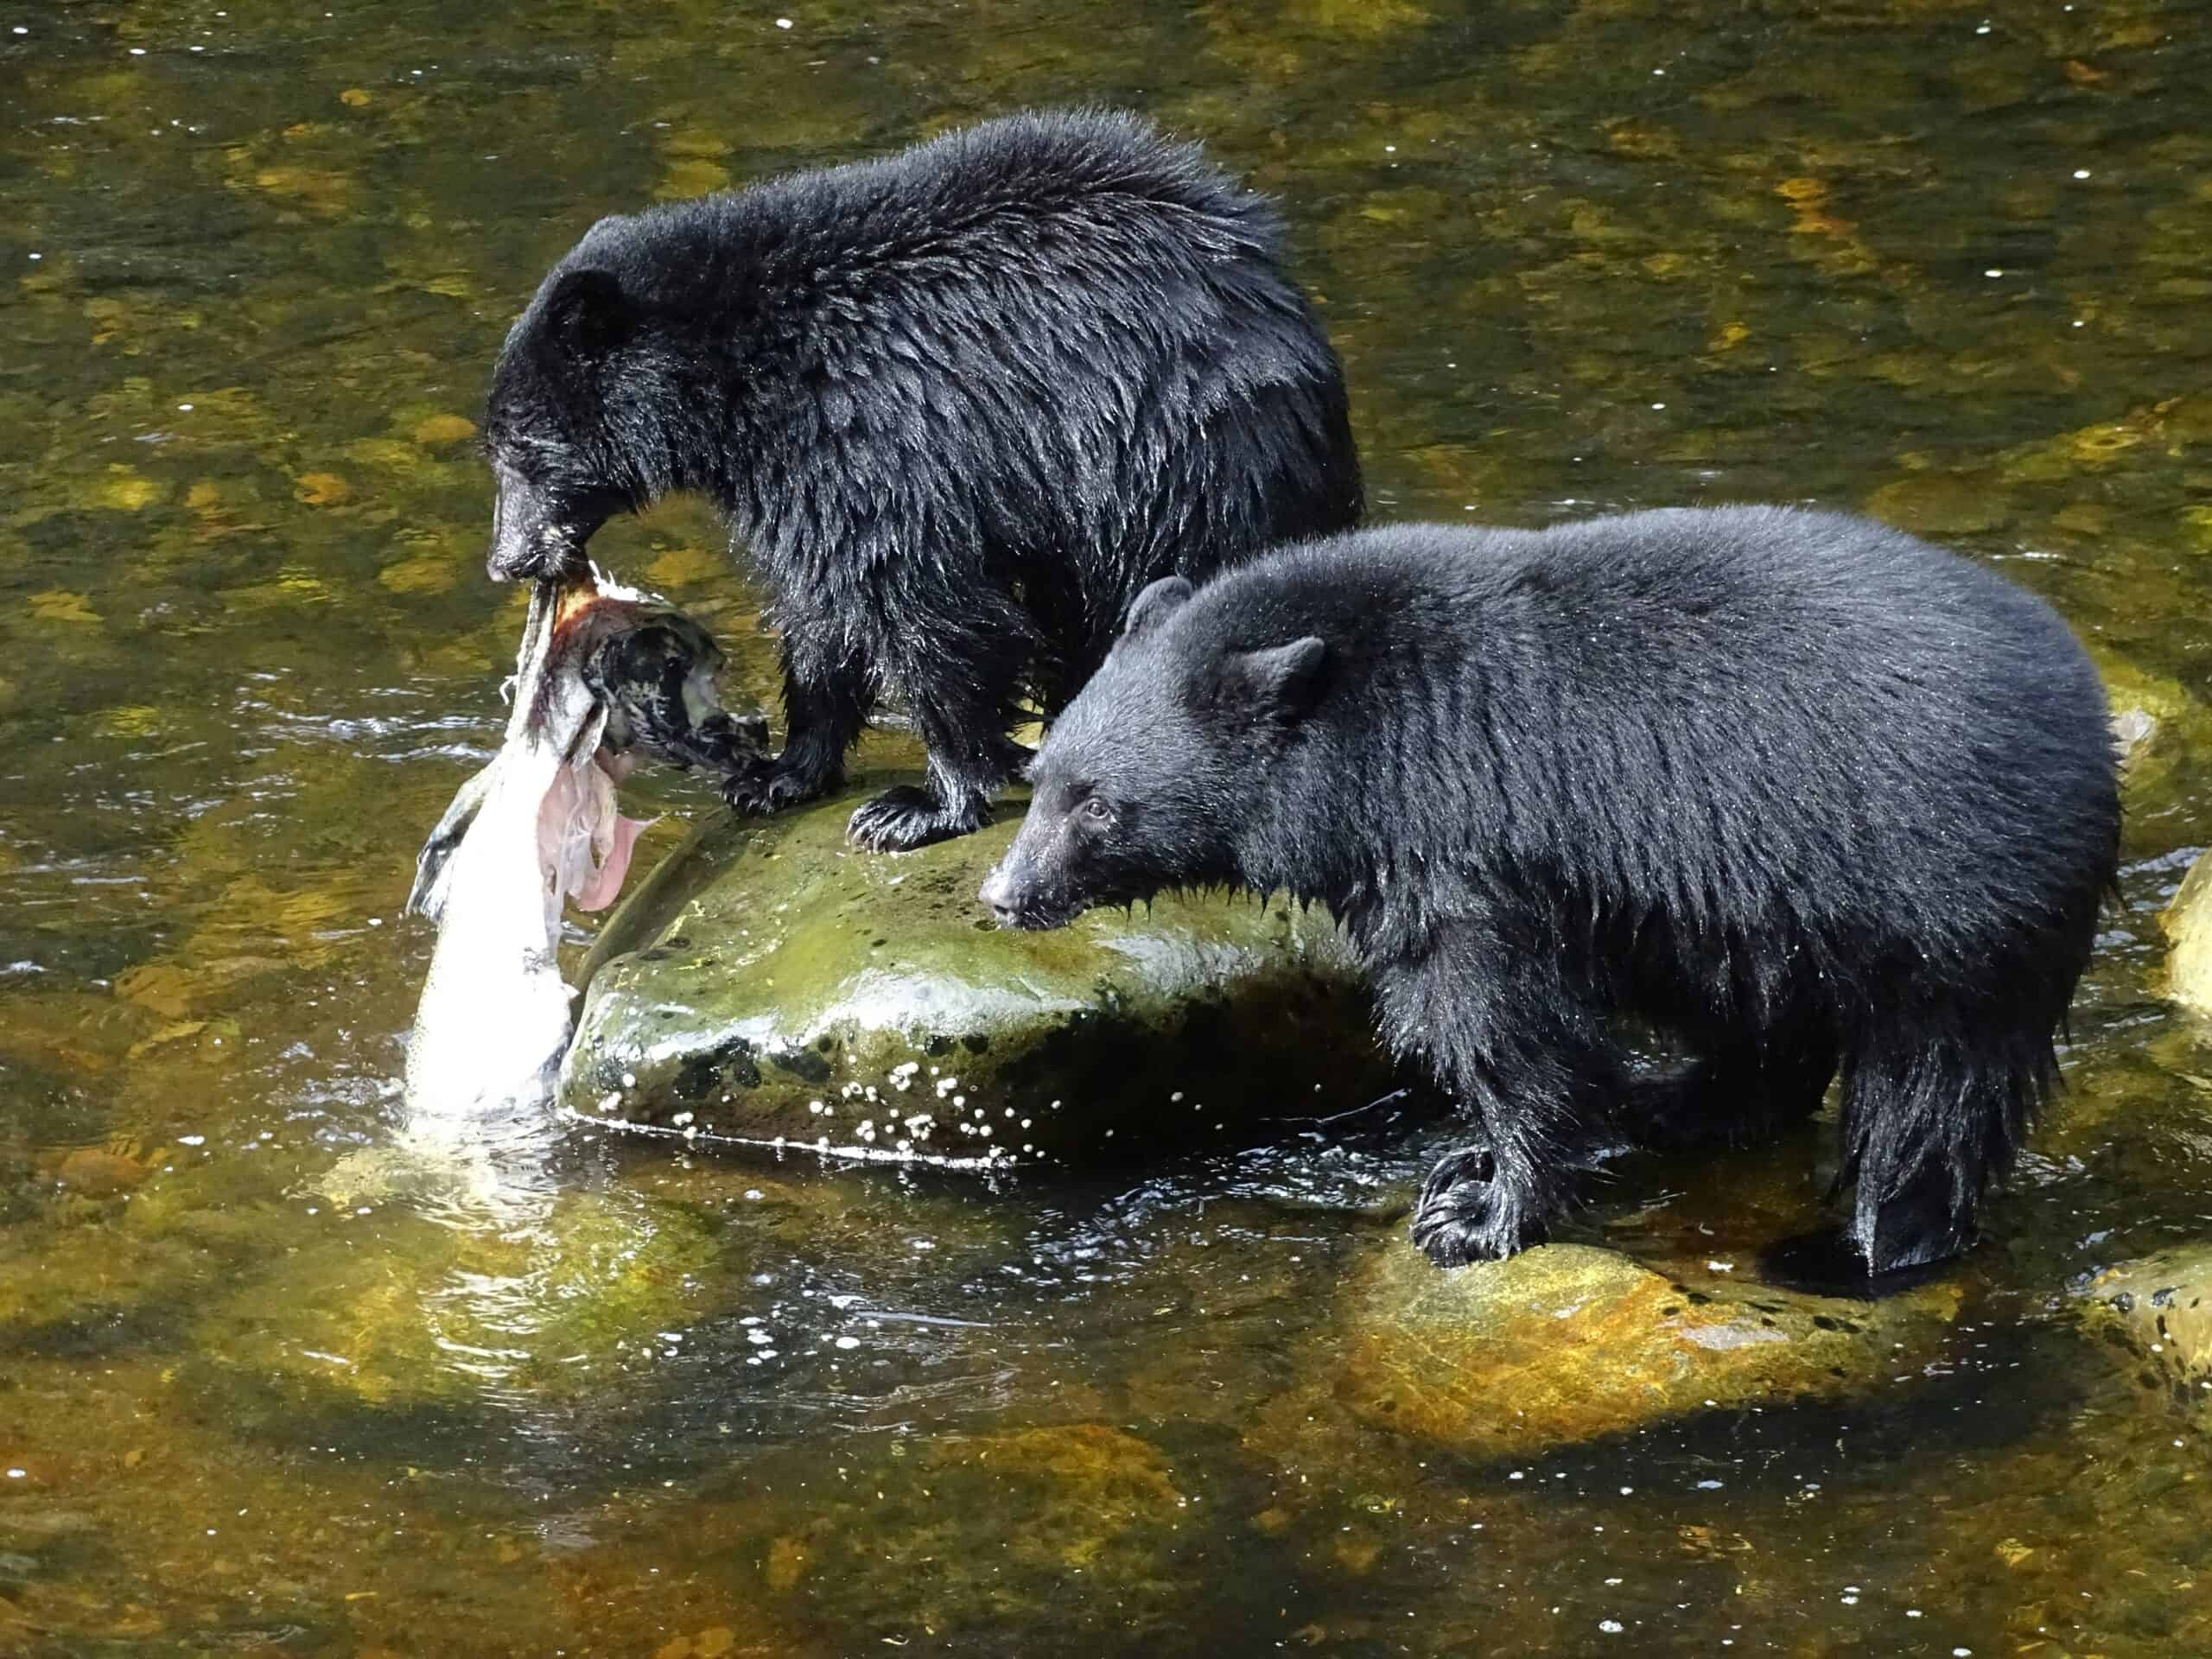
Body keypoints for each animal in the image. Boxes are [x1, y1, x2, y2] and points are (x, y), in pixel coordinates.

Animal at [480, 109, 1362, 852]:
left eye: (517, 448)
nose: (508, 560)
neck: (741, 379)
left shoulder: (875, 436)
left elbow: (919, 605)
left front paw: (919, 807)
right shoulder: (800, 476)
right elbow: (819, 613)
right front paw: (780, 774)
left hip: (1174, 461)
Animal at [978, 506, 2121, 1280]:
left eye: (1098, 807)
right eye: (1044, 775)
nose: (1003, 893)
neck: (1366, 745)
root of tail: (2086, 711)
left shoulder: (1466, 856)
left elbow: (1497, 1023)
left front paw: (1481, 1211)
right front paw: (1474, 1168)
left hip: (1944, 907)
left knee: (1933, 1093)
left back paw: (1876, 1245)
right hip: (1763, 905)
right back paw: (1687, 1105)